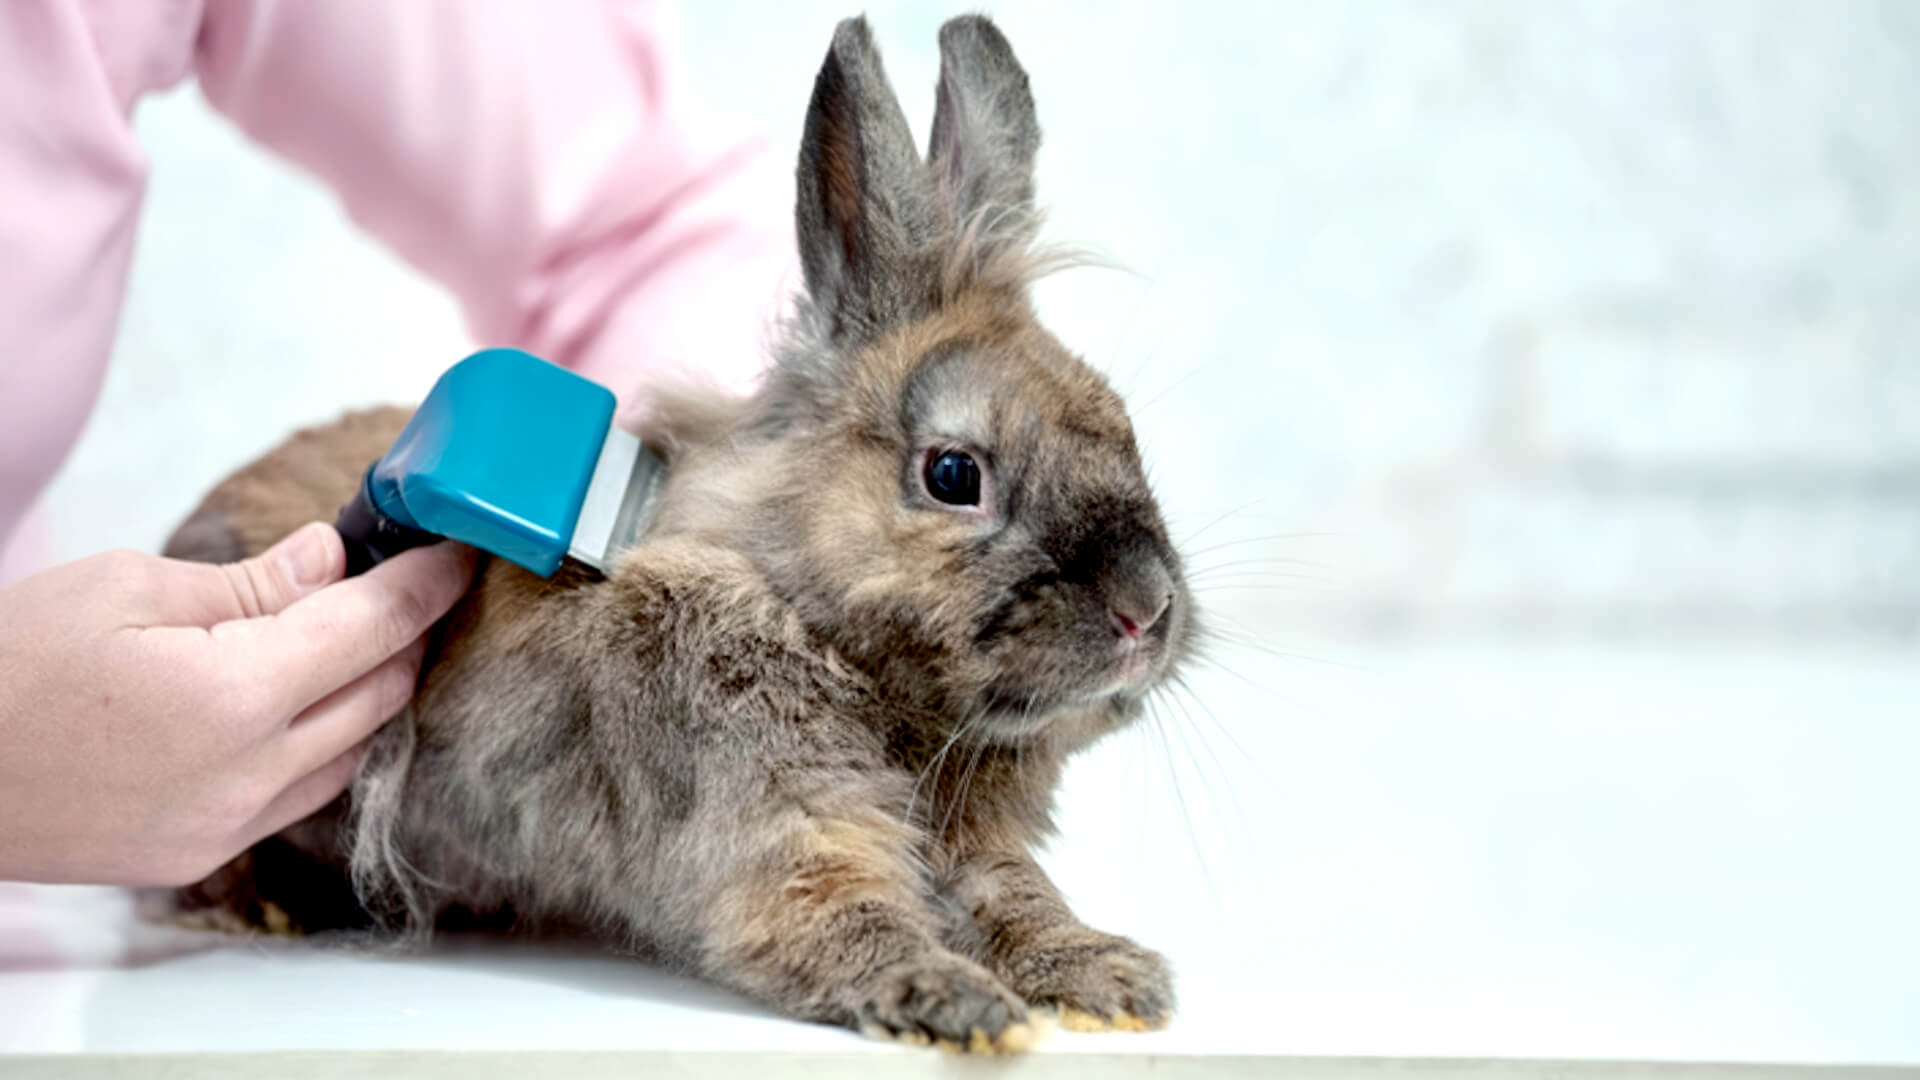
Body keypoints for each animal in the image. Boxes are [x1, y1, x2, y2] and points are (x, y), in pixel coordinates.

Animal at [159, 15, 1193, 1053]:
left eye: (1123, 427)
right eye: (953, 476)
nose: (1146, 612)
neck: (806, 617)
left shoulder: (969, 847)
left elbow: (1015, 901)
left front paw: (1109, 980)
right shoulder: (777, 834)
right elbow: (845, 916)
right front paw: (957, 1005)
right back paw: (256, 908)